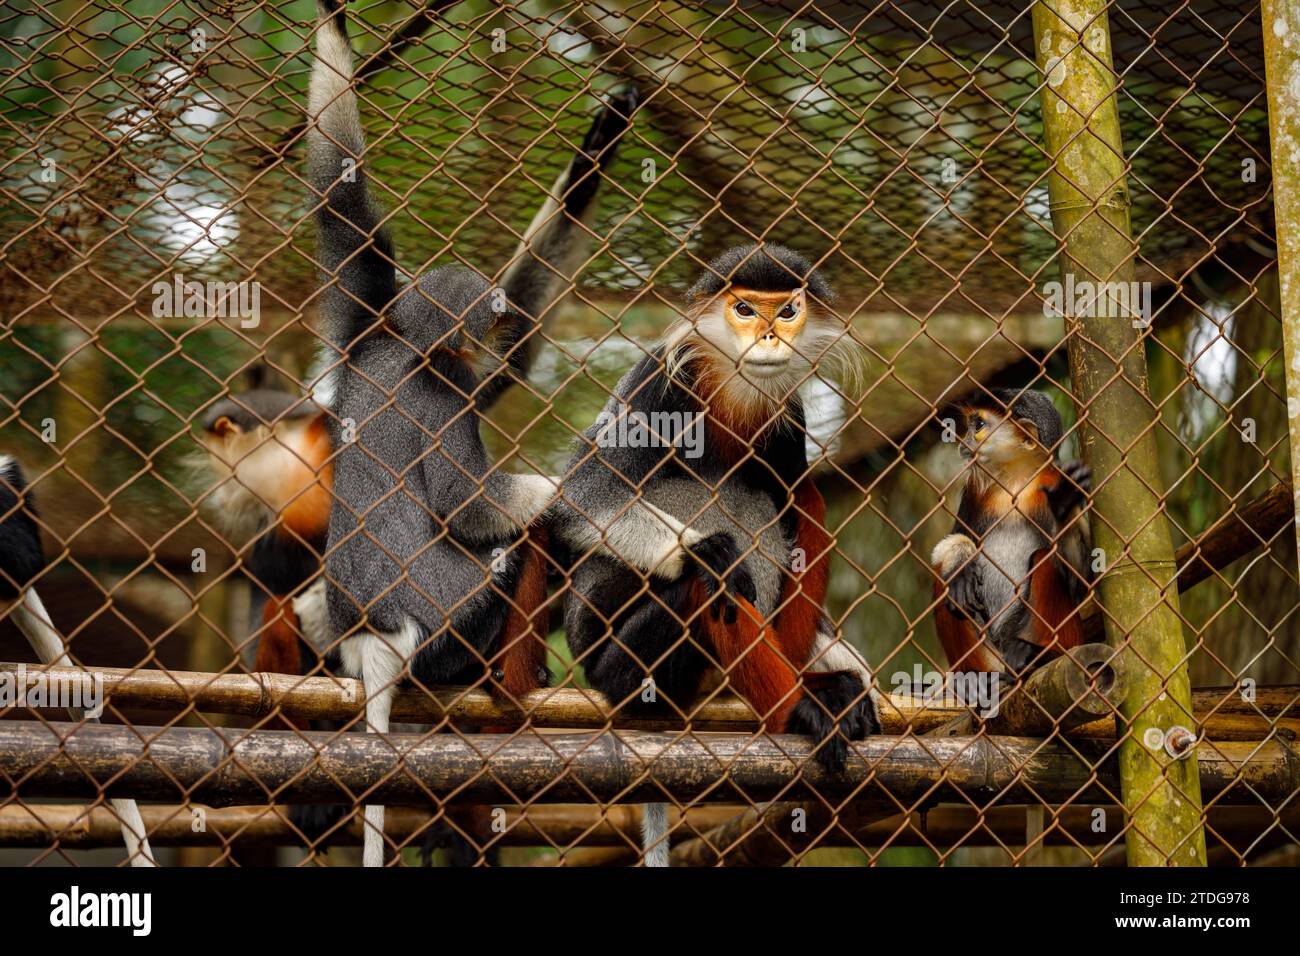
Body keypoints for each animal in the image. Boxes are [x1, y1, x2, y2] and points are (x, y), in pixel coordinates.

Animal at [307, 0, 637, 866]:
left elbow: (339, 198)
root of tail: (378, 637)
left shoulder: (364, 325)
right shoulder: (445, 389)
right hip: (451, 624)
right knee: (511, 549)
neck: (408, 350)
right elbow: (470, 501)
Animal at [551, 243, 880, 865]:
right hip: (623, 667)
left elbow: (797, 496)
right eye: (744, 309)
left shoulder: (789, 415)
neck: (732, 388)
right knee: (710, 584)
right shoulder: (656, 384)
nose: (769, 336)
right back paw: (800, 709)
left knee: (800, 497)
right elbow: (578, 498)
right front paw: (707, 550)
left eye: (789, 310)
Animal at [930, 388, 1093, 675]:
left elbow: (1081, 582)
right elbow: (956, 541)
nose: (964, 442)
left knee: (1043, 558)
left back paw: (1036, 654)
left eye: (978, 425)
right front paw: (961, 560)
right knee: (945, 578)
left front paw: (1063, 506)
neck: (1016, 481)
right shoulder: (975, 491)